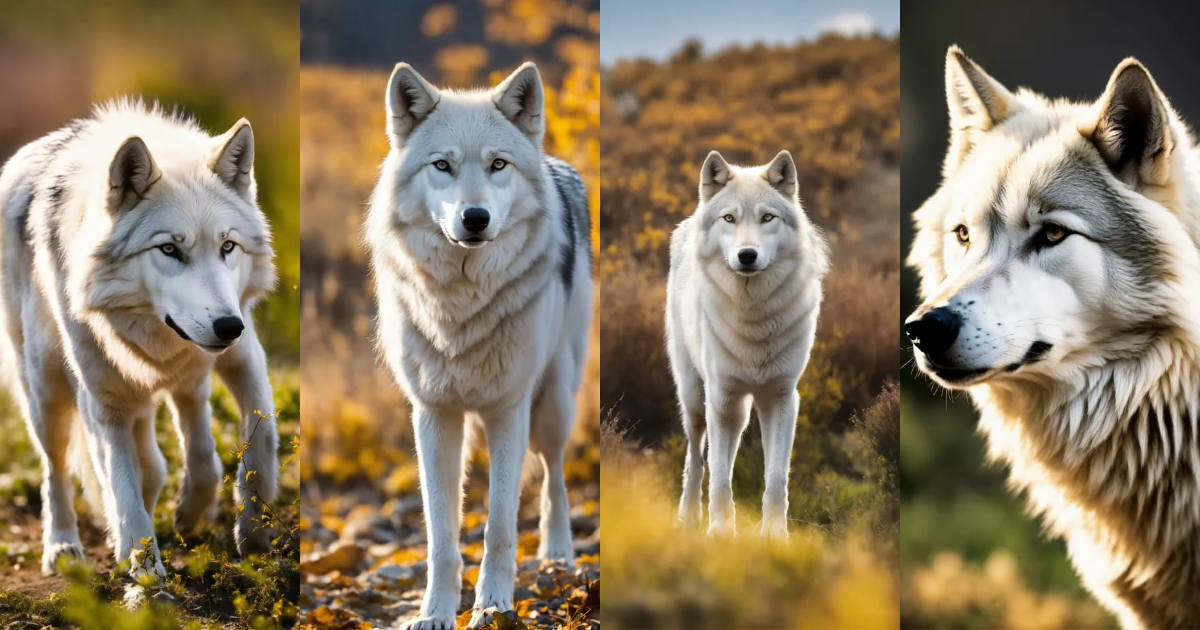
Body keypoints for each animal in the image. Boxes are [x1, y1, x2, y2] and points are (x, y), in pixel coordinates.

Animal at [0, 100, 279, 582]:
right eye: (169, 249)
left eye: (228, 246)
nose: (228, 326)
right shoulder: (104, 405)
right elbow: (123, 490)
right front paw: (146, 576)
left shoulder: (245, 359)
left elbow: (257, 442)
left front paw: (251, 535)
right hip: (48, 392)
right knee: (56, 470)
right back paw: (62, 546)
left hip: (176, 386)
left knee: (181, 444)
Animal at [365, 62, 592, 630]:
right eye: (442, 166)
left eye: (498, 165)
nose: (475, 218)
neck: (460, 308)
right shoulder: (433, 416)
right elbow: (442, 536)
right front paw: (435, 613)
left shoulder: (508, 411)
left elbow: (500, 527)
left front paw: (492, 606)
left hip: (553, 401)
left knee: (555, 475)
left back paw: (558, 555)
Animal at [667, 150, 828, 538]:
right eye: (730, 218)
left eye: (767, 217)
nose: (747, 256)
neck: (754, 318)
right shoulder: (720, 397)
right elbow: (720, 479)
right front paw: (720, 534)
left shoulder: (781, 399)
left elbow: (775, 479)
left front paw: (774, 537)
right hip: (697, 400)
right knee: (698, 459)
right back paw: (689, 517)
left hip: (738, 412)